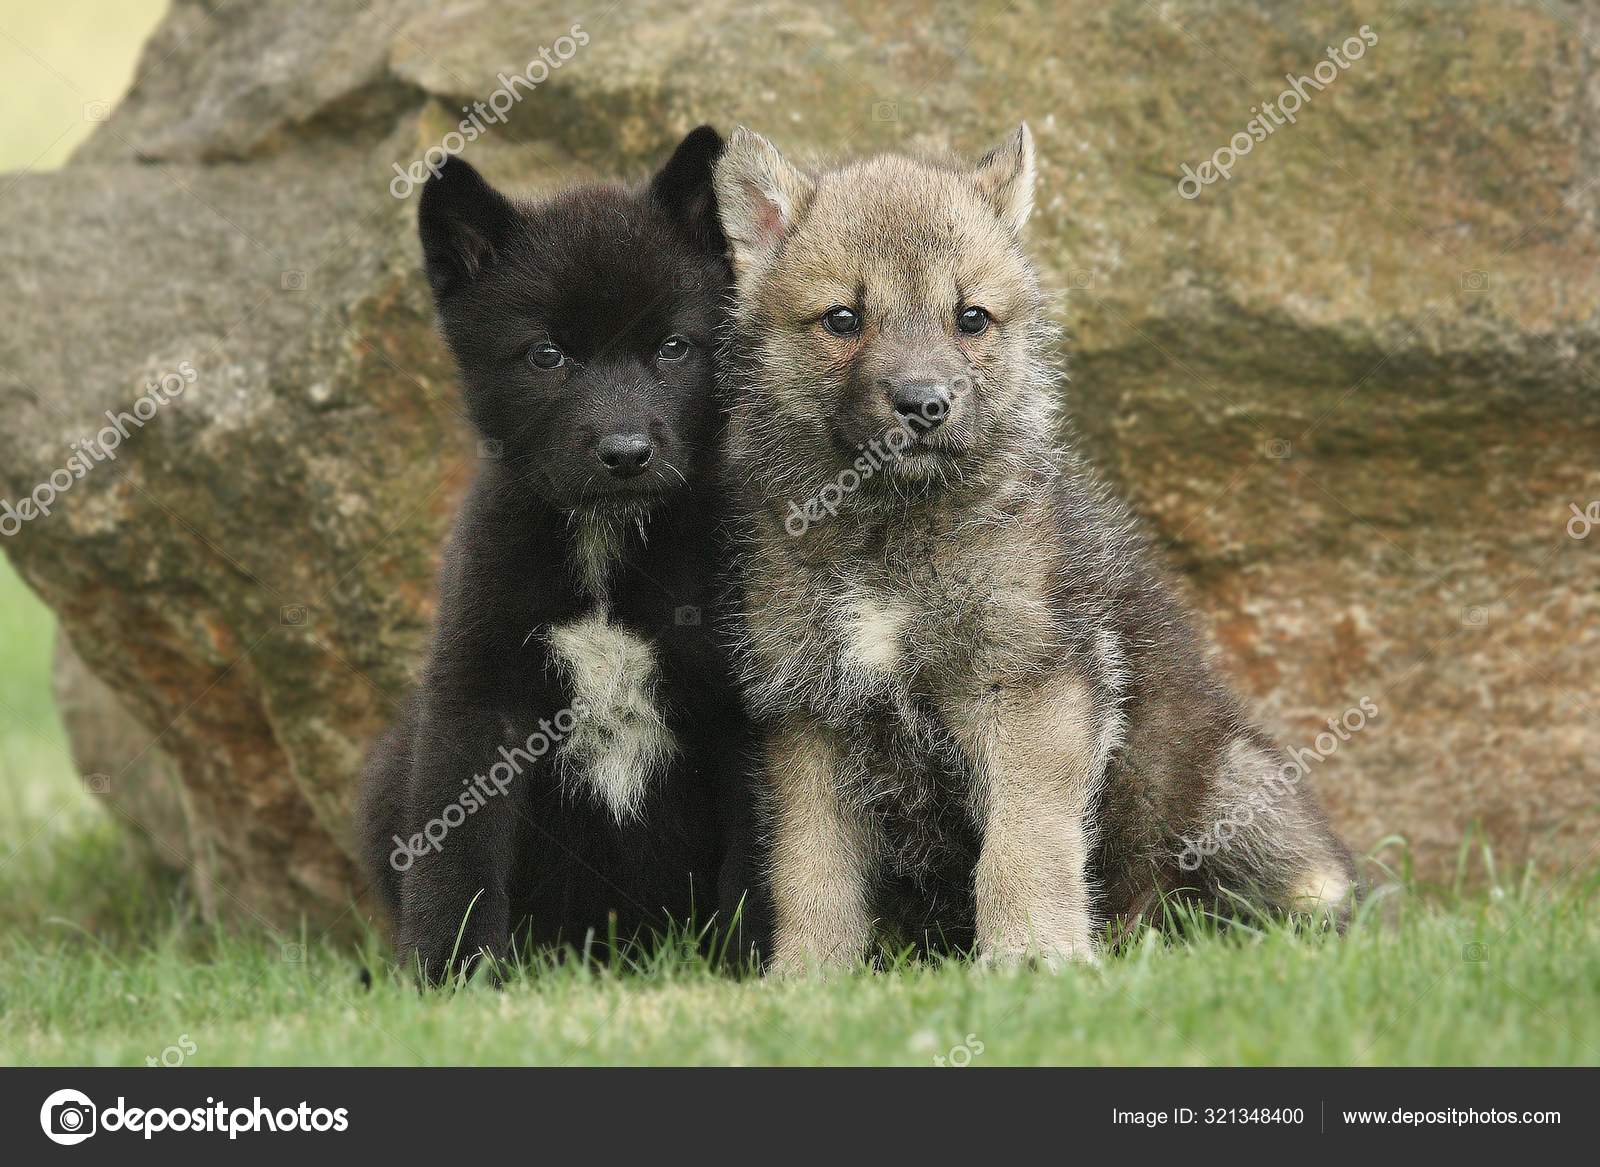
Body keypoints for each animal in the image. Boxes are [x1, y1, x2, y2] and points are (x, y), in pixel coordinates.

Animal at [355, 127, 760, 982]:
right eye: (547, 356)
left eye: (673, 347)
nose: (626, 452)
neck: (607, 547)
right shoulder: (479, 701)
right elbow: (456, 858)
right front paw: (448, 973)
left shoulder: (745, 705)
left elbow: (768, 857)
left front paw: (765, 963)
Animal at [713, 124, 1356, 974]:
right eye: (843, 318)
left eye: (971, 318)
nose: (925, 404)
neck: (892, 533)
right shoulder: (810, 714)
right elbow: (812, 871)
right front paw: (809, 975)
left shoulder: (1026, 683)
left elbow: (1023, 845)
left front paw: (1033, 955)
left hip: (1236, 787)